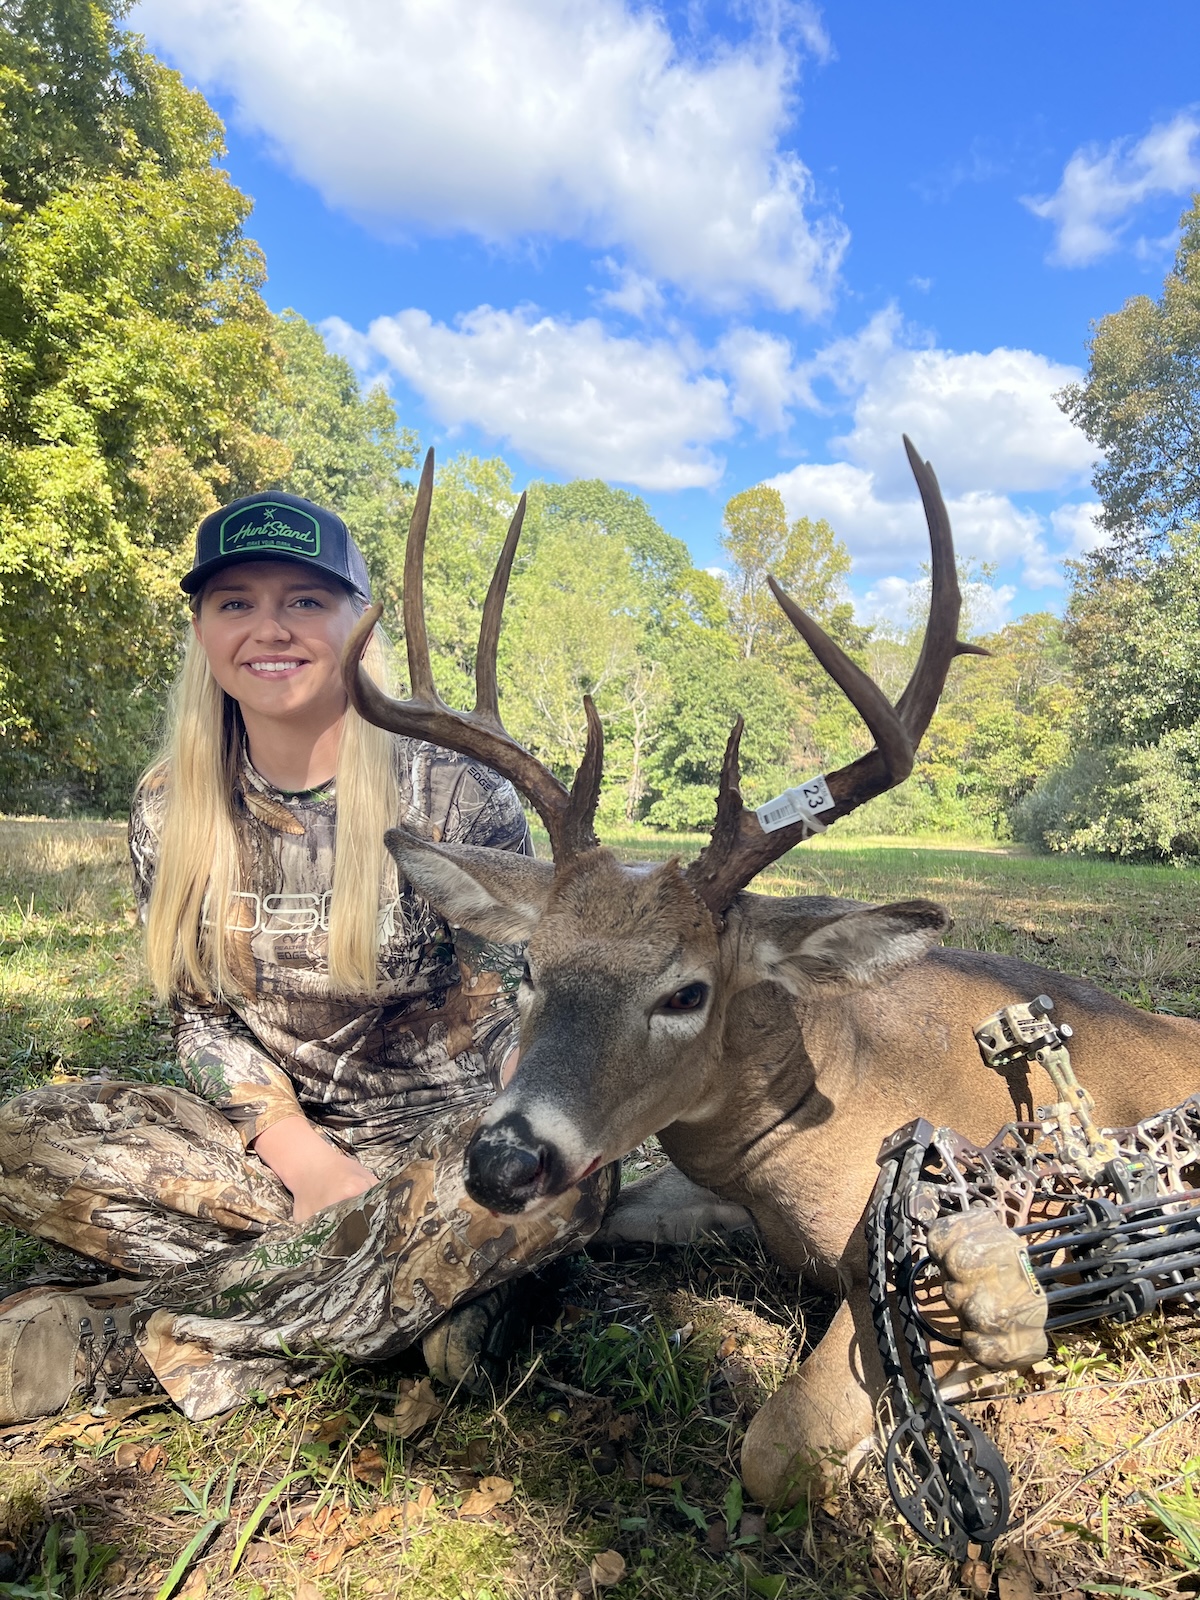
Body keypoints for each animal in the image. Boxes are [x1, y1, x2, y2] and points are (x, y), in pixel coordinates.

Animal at [341, 440, 1200, 1507]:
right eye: (529, 968)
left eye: (687, 992)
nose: (501, 1162)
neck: (807, 1123)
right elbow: (548, 1256)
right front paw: (484, 1317)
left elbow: (774, 1448)